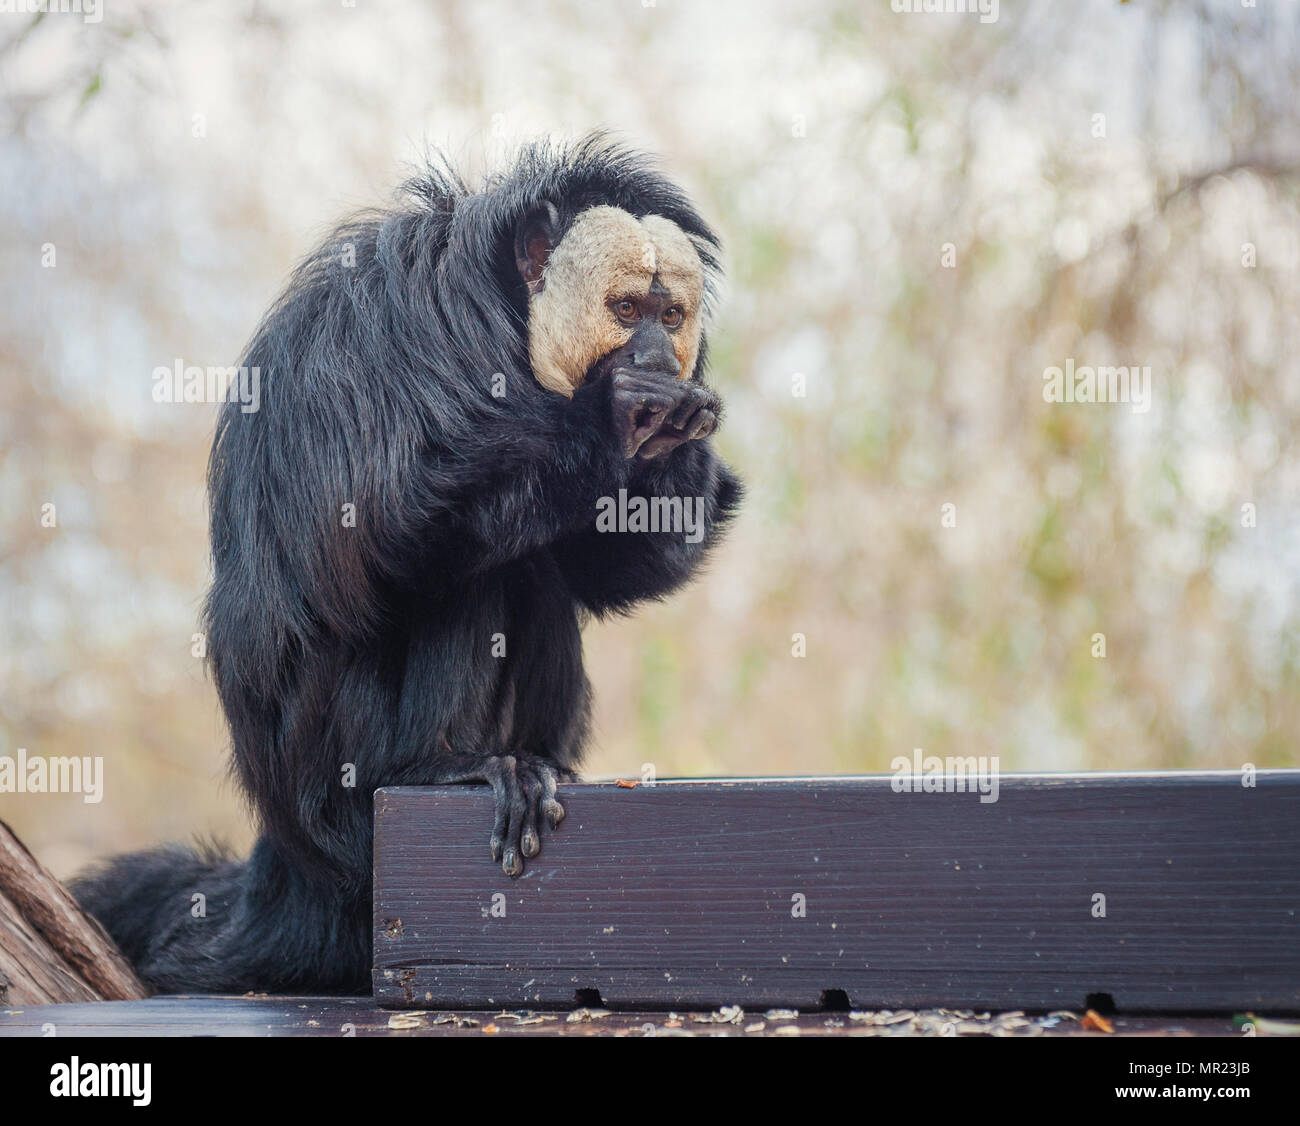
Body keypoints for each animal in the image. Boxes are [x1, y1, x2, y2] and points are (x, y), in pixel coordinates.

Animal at [70, 136, 741, 995]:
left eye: (670, 316)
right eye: (627, 311)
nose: (657, 354)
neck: (508, 322)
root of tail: (292, 859)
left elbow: (604, 572)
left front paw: (678, 453)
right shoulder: (399, 331)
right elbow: (380, 530)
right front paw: (612, 415)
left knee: (536, 574)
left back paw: (541, 762)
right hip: (340, 774)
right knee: (474, 575)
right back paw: (444, 767)